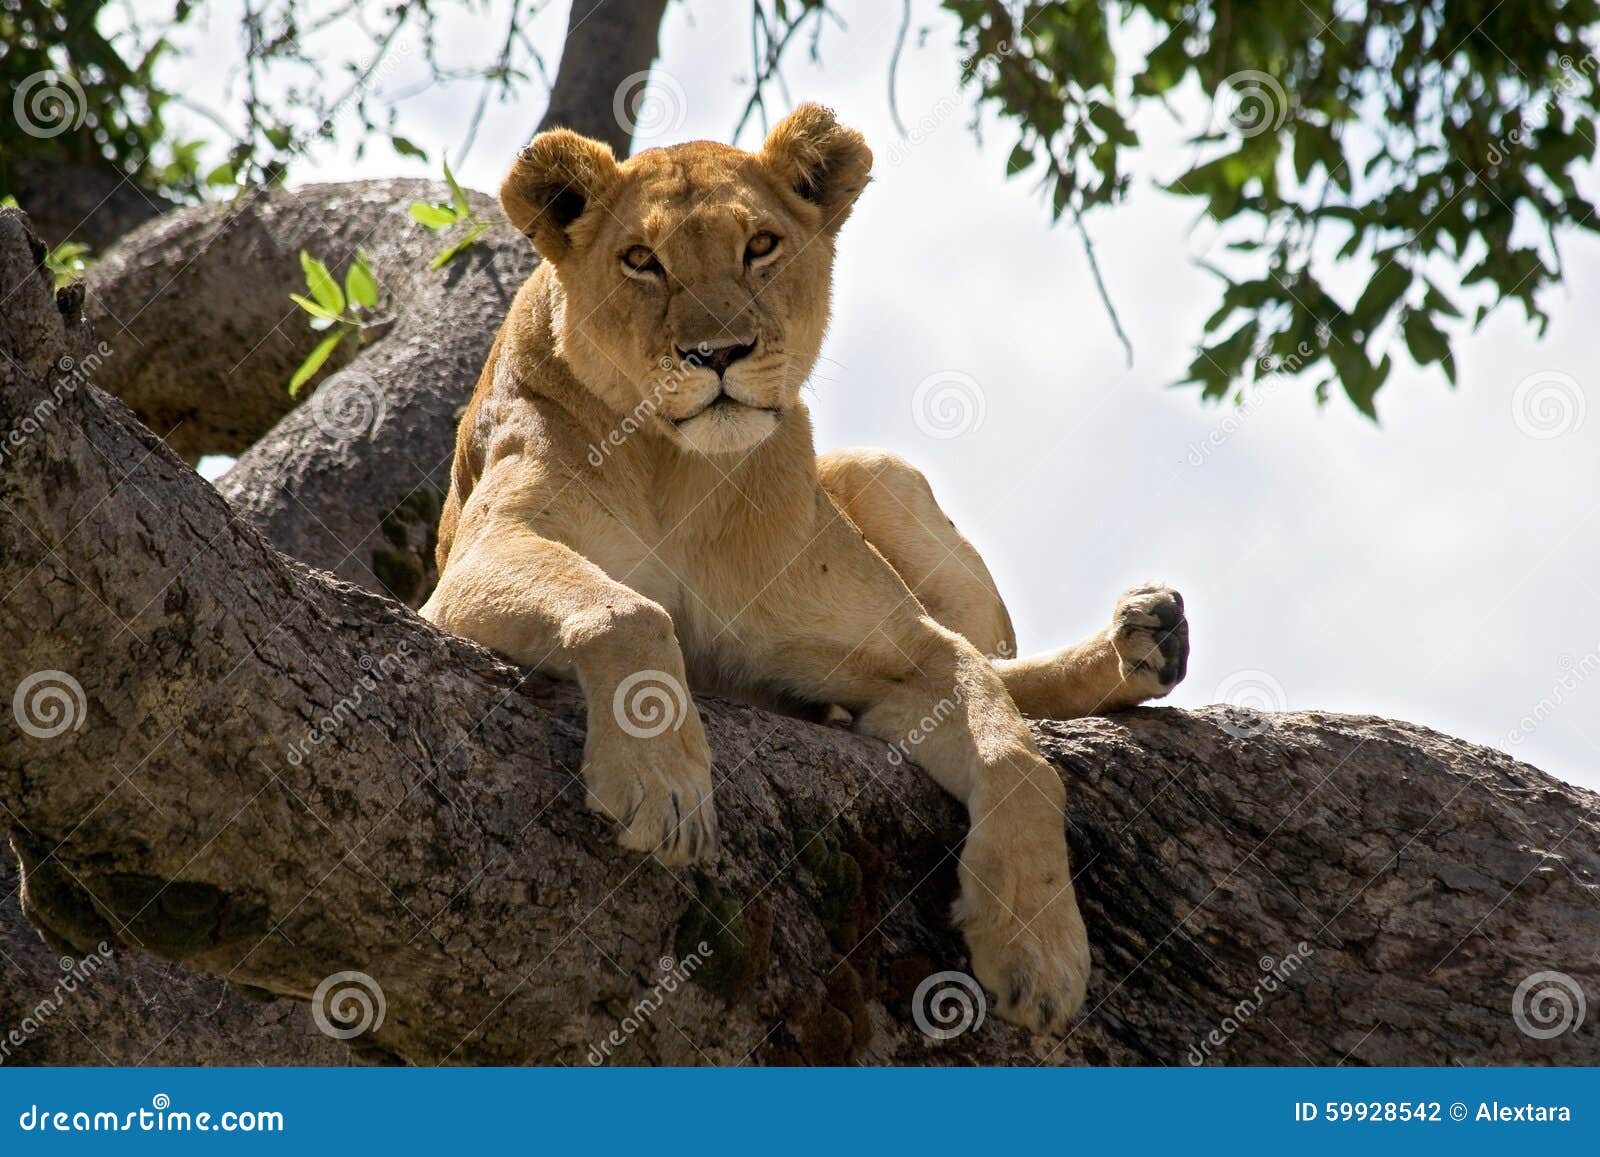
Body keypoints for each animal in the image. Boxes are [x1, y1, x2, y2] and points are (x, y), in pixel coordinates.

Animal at [419, 104, 1189, 1033]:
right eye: (641, 260)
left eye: (760, 245)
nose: (717, 352)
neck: (687, 476)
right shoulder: (471, 565)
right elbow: (630, 612)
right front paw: (664, 786)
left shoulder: (907, 647)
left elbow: (1016, 752)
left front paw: (1041, 953)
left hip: (878, 471)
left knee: (1001, 661)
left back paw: (1145, 637)